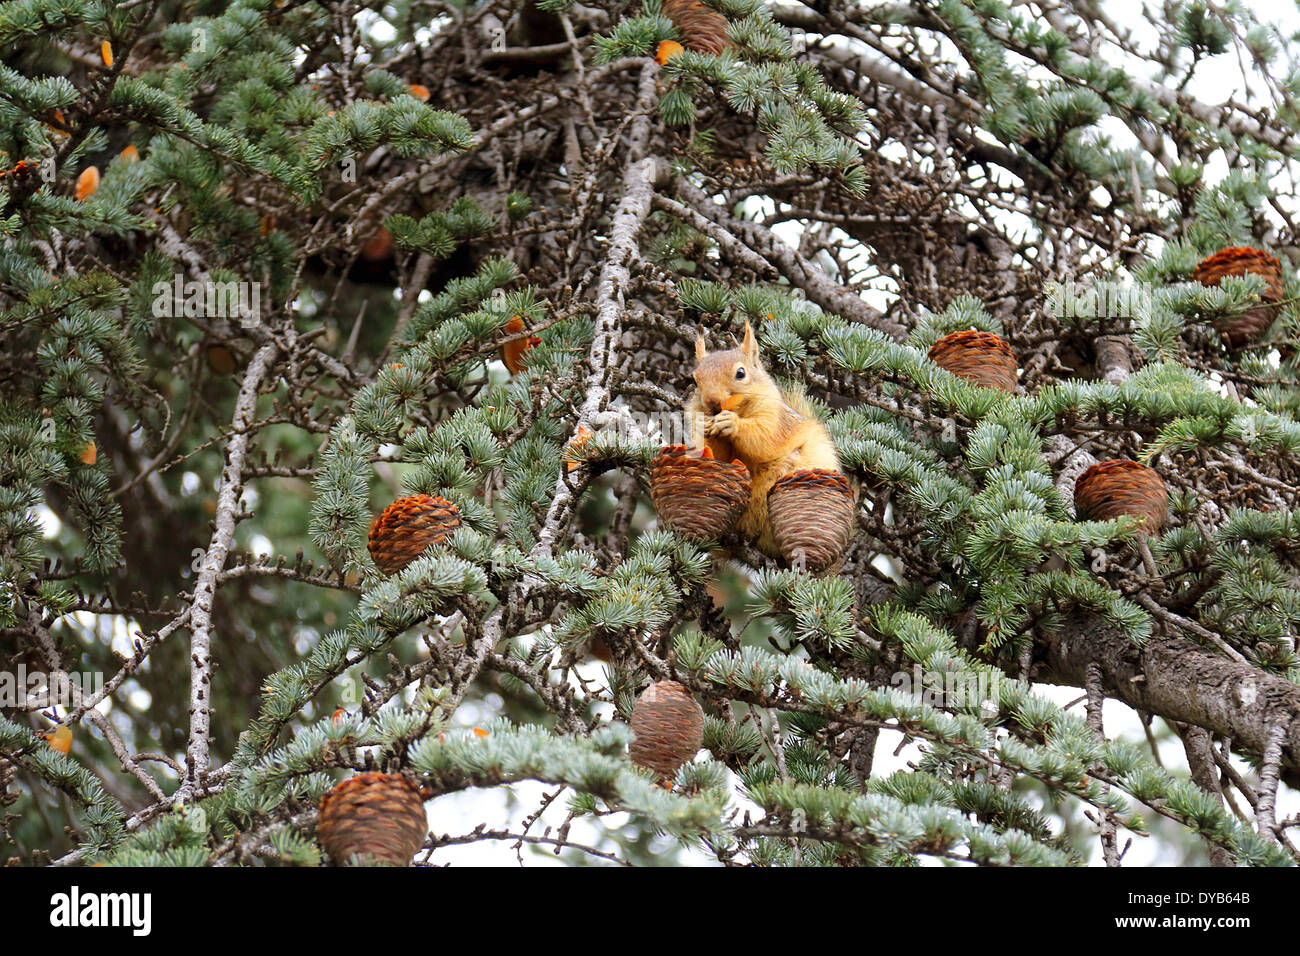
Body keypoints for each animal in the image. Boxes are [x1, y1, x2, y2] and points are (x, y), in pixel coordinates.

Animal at [687, 321, 841, 555]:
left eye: (740, 373)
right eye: (695, 380)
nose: (712, 402)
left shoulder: (775, 420)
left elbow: (763, 438)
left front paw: (733, 424)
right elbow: (718, 456)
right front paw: (705, 426)